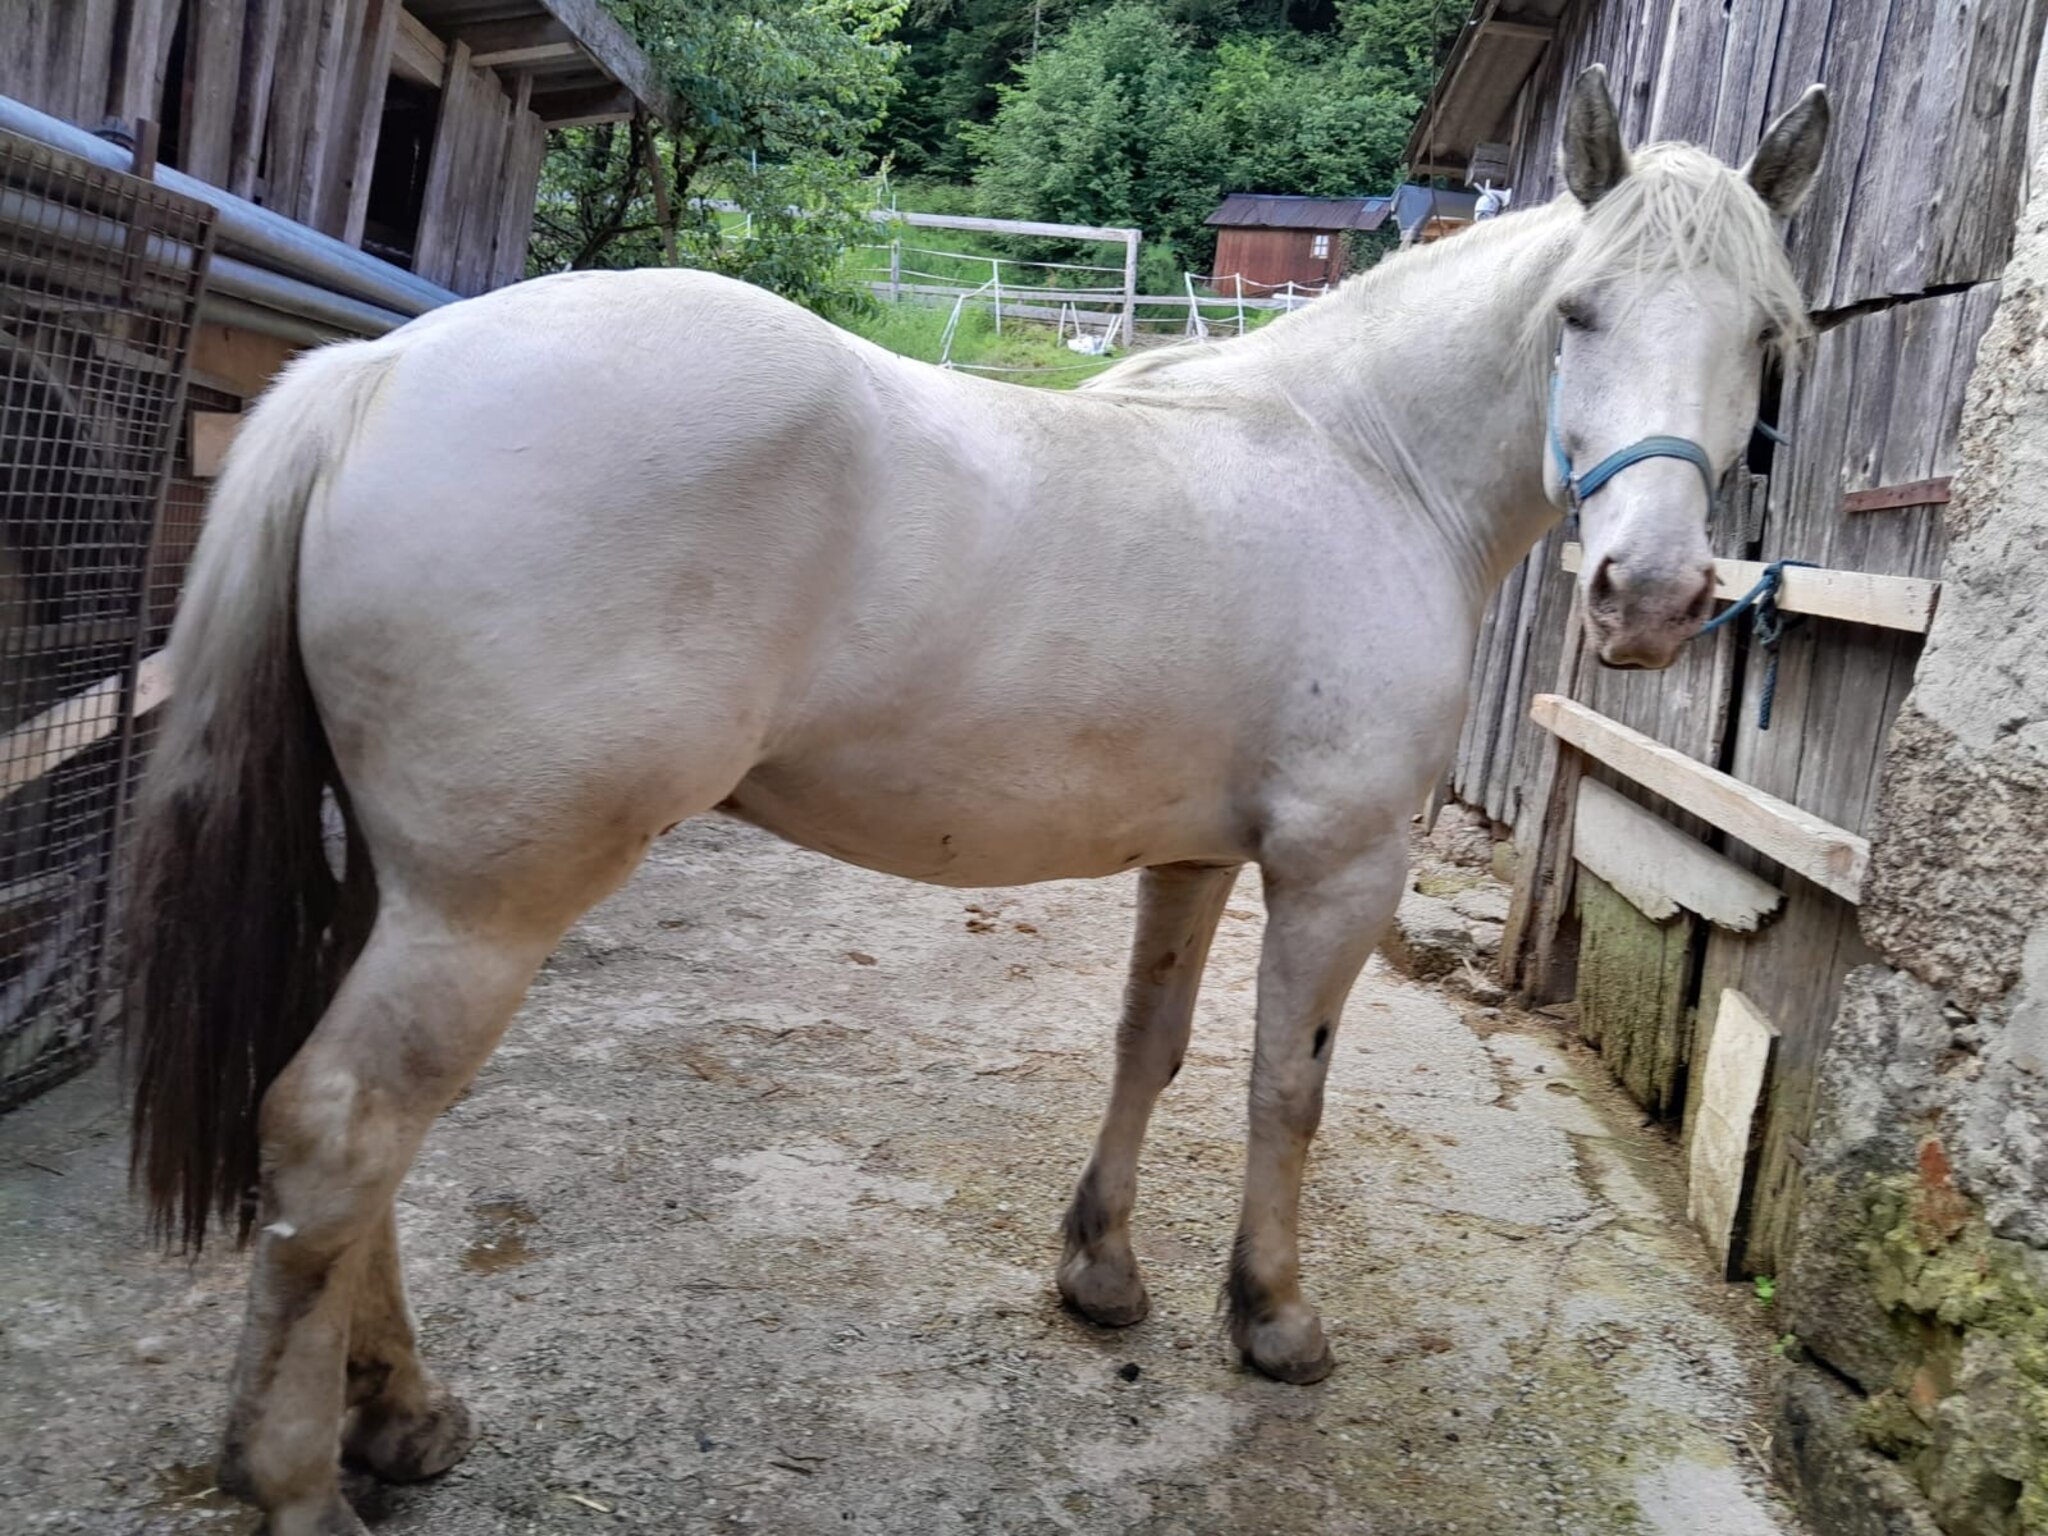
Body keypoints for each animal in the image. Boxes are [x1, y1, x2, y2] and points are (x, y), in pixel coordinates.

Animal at [127, 67, 1828, 1534]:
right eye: (1579, 310)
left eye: (1768, 335)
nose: (1653, 596)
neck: (1362, 465)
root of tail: (379, 372)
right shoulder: (1339, 868)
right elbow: (1286, 1093)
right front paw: (1273, 1318)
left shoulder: (1196, 859)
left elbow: (1150, 1048)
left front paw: (1103, 1274)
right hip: (487, 904)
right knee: (340, 1132)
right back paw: (294, 1480)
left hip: (405, 892)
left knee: (360, 1157)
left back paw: (401, 1417)